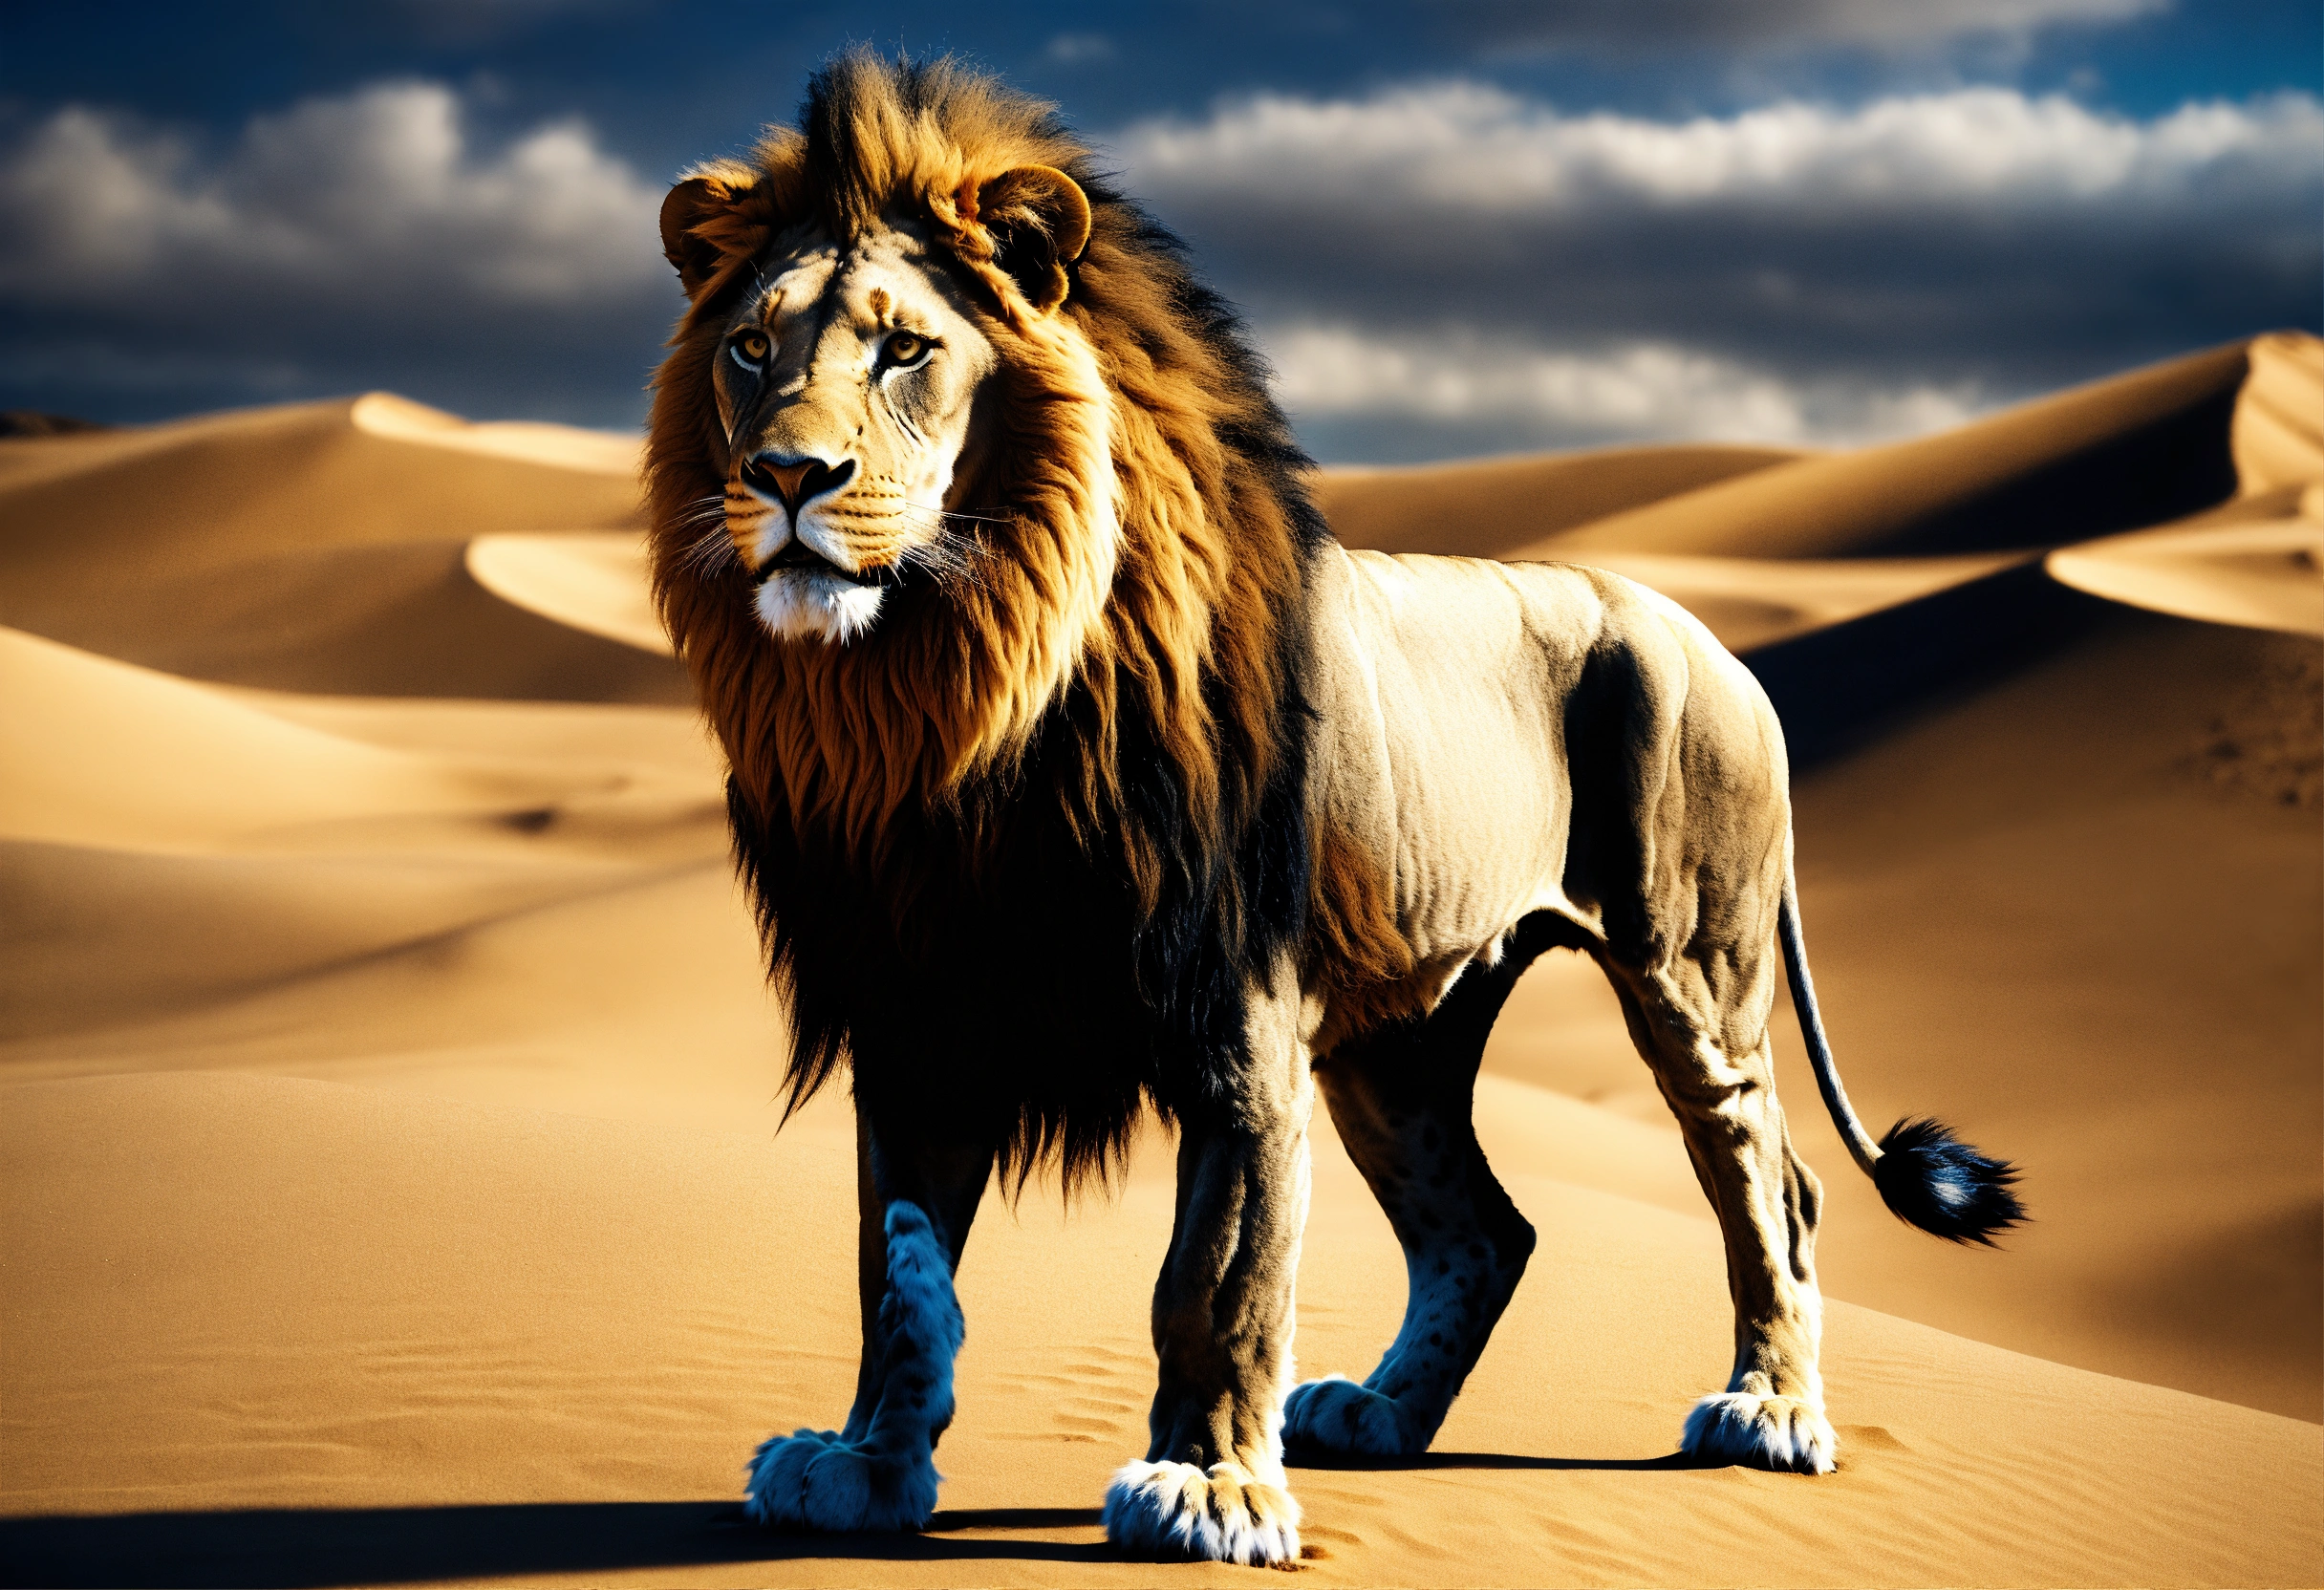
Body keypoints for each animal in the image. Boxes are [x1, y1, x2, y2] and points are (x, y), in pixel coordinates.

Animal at [644, 53, 2024, 1567]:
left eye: (904, 351)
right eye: (751, 350)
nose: (787, 478)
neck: (958, 696)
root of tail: (1719, 645)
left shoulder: (1235, 1010)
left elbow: (1214, 1275)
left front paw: (1207, 1492)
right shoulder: (915, 1011)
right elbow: (894, 1276)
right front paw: (867, 1468)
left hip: (1693, 971)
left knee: (1772, 1183)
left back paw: (1767, 1412)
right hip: (1401, 1039)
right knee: (1487, 1230)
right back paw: (1378, 1413)